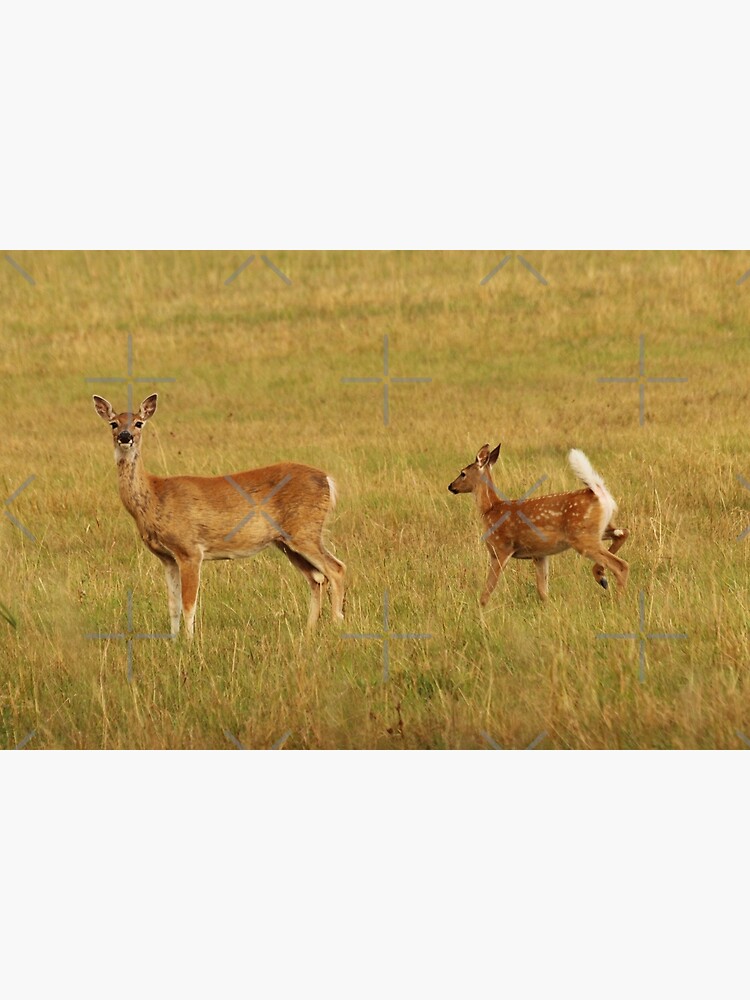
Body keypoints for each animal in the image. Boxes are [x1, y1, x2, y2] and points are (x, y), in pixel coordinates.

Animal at [93, 393, 346, 637]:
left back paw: (336, 624)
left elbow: (189, 604)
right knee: (316, 578)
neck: (155, 496)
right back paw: (309, 630)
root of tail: (327, 480)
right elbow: (173, 605)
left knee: (336, 569)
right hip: (286, 542)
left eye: (139, 422)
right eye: (113, 423)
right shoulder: (167, 558)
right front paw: (173, 640)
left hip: (305, 530)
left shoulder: (190, 550)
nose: (125, 436)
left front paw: (190, 641)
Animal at [448, 443, 629, 604]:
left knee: (621, 565)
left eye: (462, 473)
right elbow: (542, 591)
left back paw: (617, 600)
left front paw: (480, 612)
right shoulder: (540, 554)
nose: (451, 486)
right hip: (599, 530)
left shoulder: (501, 549)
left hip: (583, 537)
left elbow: (487, 590)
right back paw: (601, 576)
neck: (491, 509)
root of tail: (598, 491)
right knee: (623, 533)